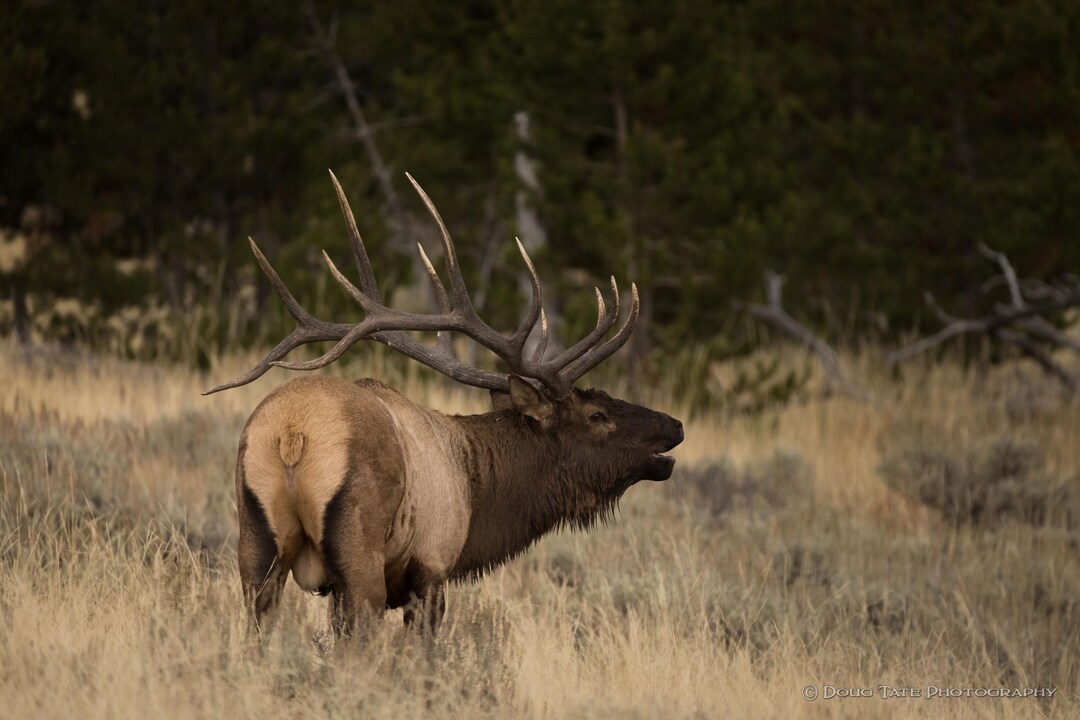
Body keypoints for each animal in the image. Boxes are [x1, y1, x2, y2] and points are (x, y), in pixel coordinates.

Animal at [204, 171, 685, 640]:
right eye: (596, 415)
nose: (675, 425)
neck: (478, 493)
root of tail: (292, 436)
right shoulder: (432, 566)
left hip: (255, 543)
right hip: (359, 550)